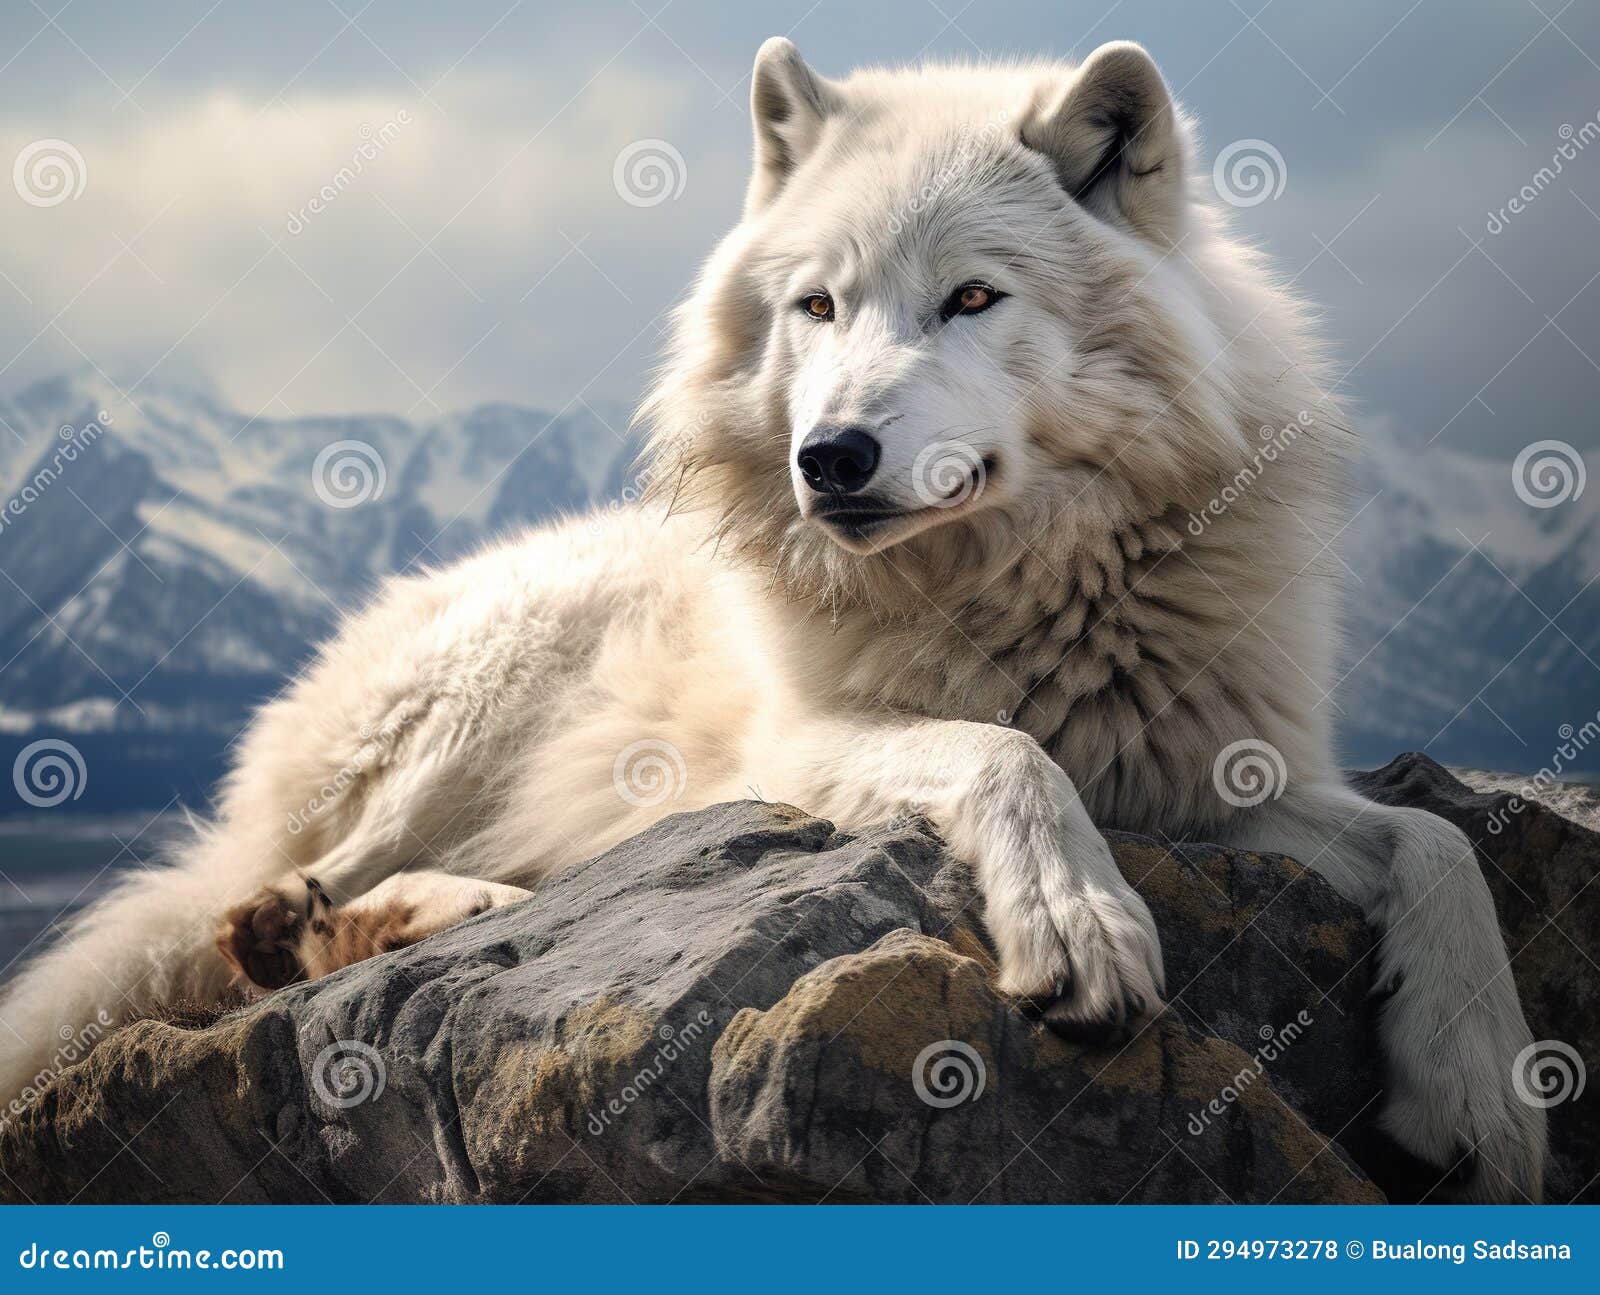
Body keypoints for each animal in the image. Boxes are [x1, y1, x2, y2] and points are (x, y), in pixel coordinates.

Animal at [0, 39, 1543, 1200]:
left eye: (972, 297)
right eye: (817, 305)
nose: (832, 458)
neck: (1024, 586)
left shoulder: (1212, 776)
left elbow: (1440, 843)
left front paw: (1480, 1085)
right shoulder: (796, 746)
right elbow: (1004, 752)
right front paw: (1077, 922)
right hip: (490, 688)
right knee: (261, 912)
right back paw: (433, 907)